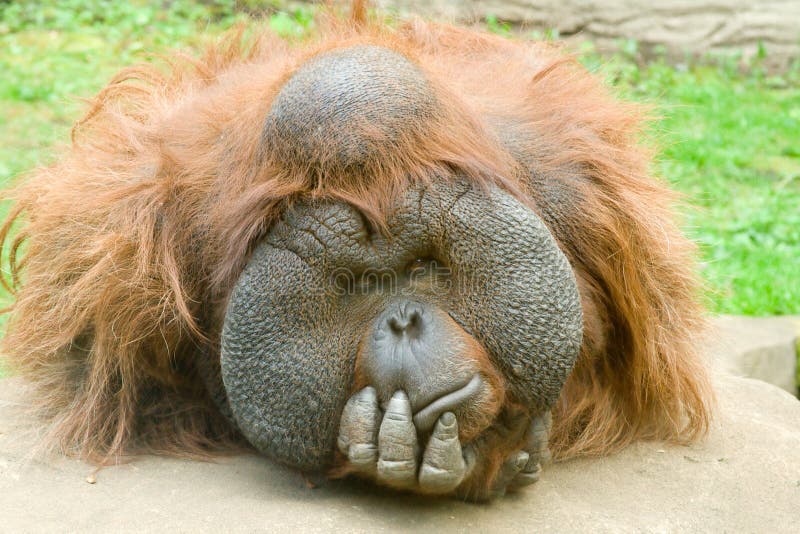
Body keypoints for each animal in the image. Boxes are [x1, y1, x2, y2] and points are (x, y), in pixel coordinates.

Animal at [0, 3, 712, 501]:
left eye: (423, 269)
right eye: (360, 287)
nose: (402, 319)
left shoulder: (587, 193)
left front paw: (506, 452)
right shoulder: (124, 262)